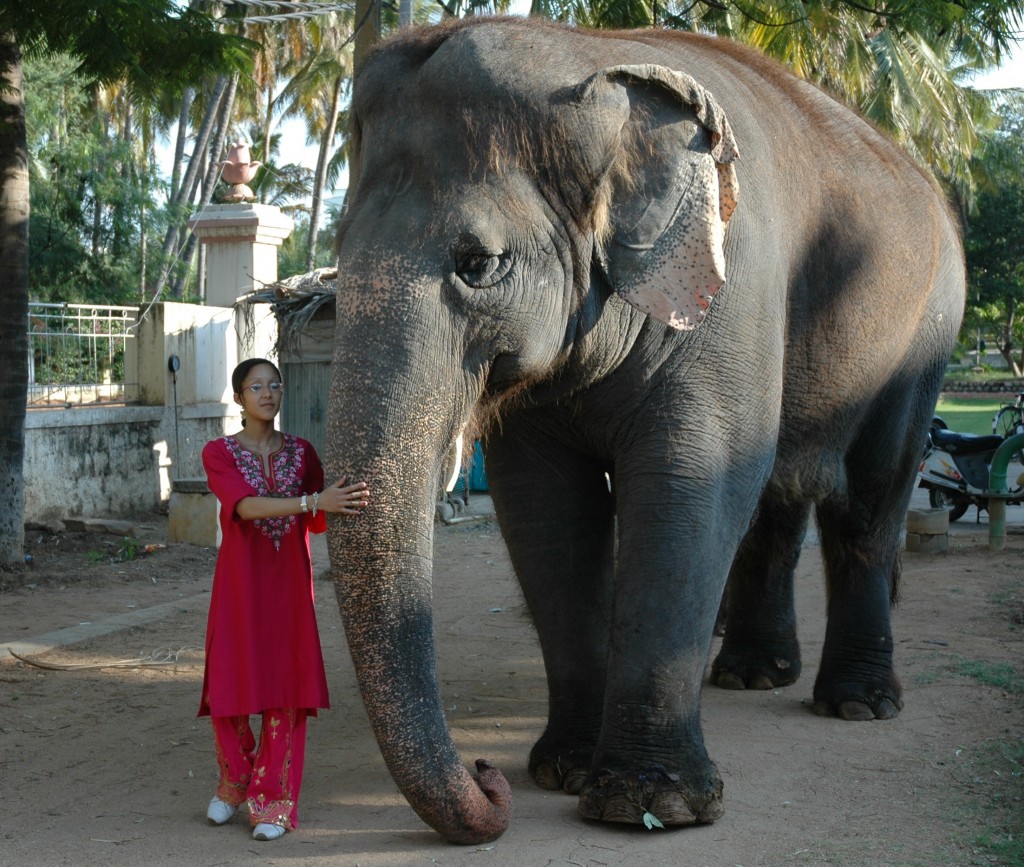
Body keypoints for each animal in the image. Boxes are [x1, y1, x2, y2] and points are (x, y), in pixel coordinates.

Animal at [324, 17, 965, 845]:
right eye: (336, 255)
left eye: (479, 263)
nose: (486, 774)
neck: (591, 59)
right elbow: (546, 509)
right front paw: (562, 770)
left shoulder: (729, 289)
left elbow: (688, 479)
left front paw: (647, 804)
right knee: (779, 496)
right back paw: (752, 674)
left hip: (927, 329)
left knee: (874, 491)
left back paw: (856, 703)